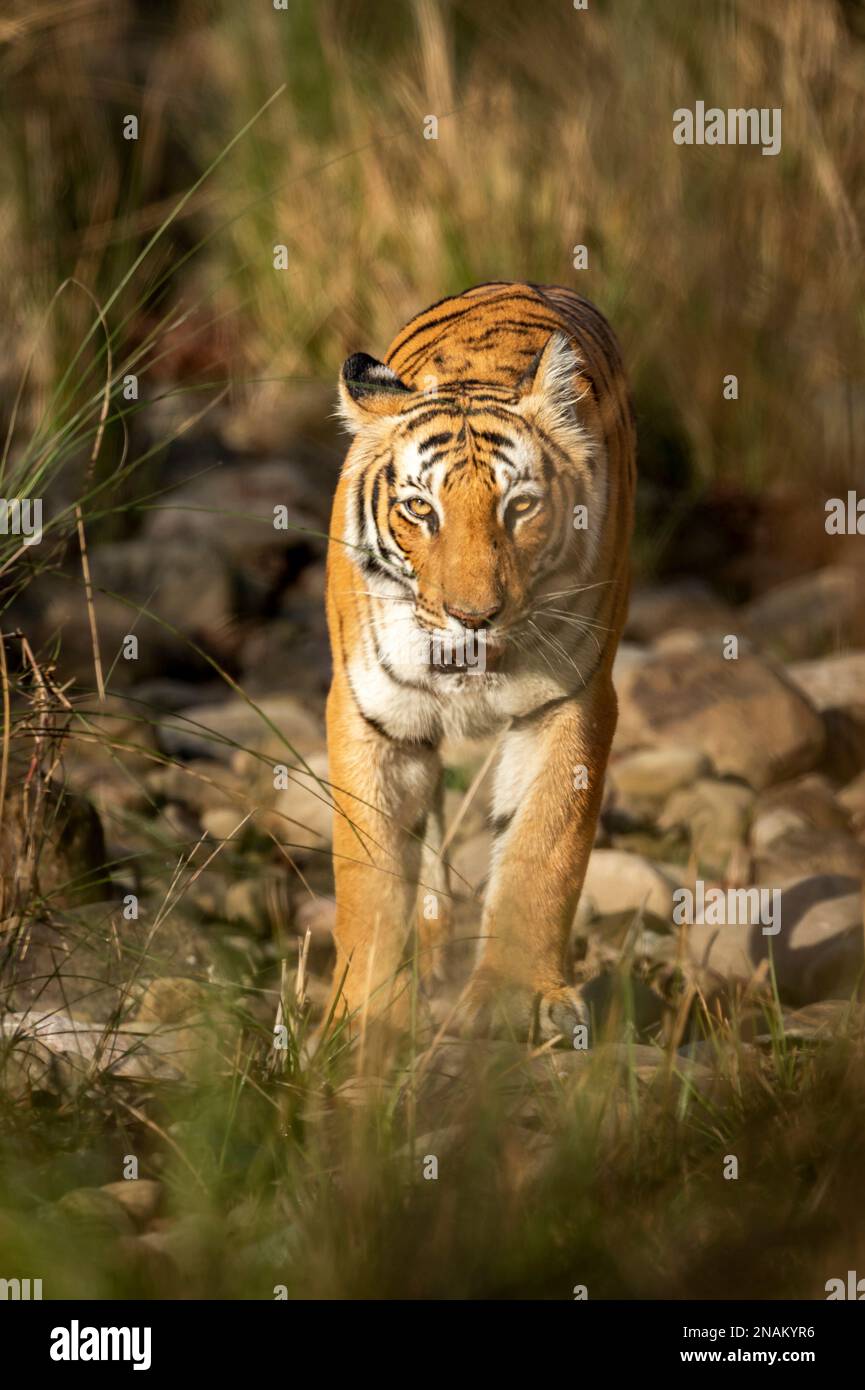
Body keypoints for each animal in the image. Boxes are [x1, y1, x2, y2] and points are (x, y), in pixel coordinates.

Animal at [324, 281, 635, 1043]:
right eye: (419, 509)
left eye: (518, 507)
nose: (473, 616)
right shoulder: (369, 714)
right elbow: (369, 873)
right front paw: (368, 1010)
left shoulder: (571, 701)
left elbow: (541, 850)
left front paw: (512, 999)